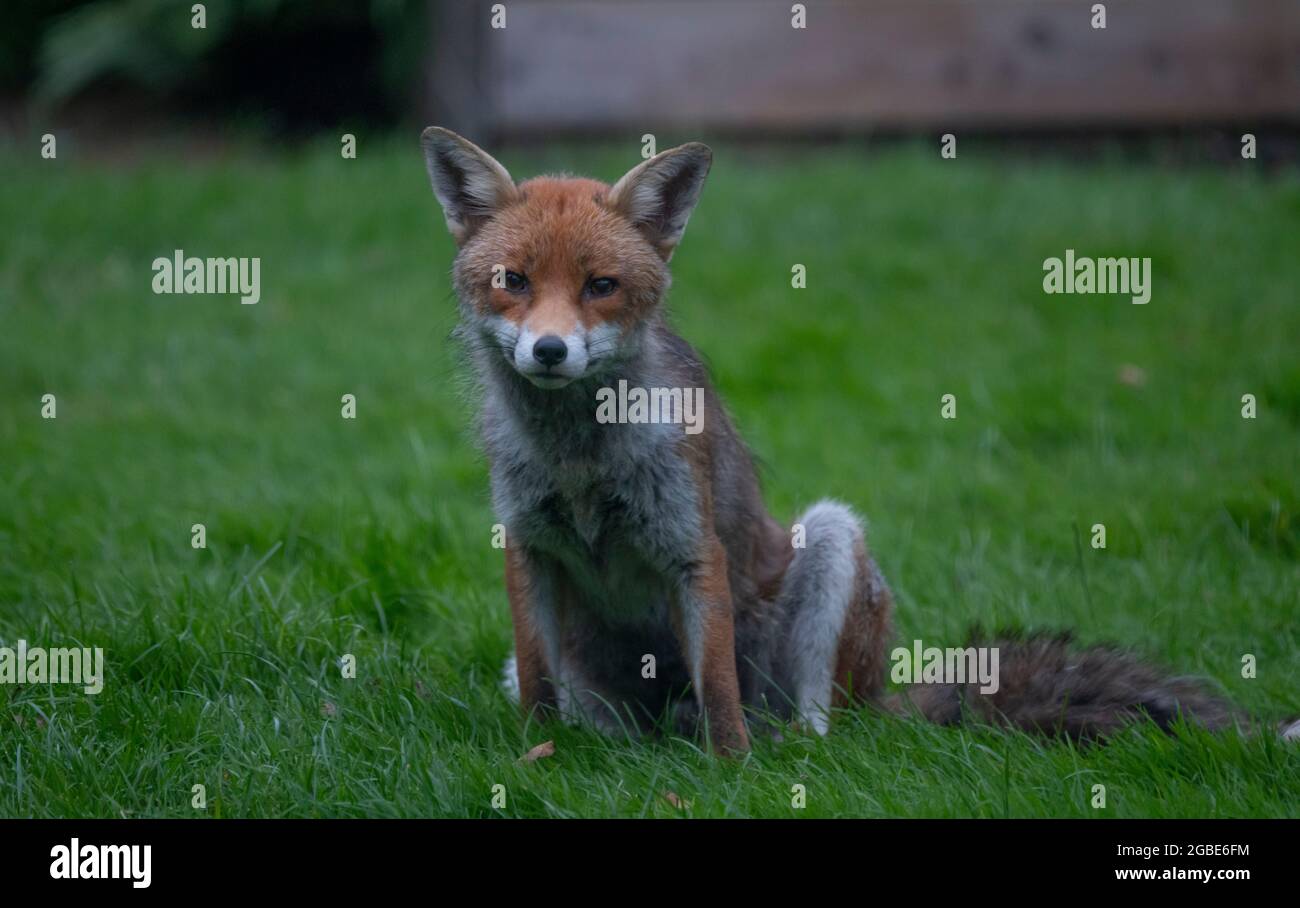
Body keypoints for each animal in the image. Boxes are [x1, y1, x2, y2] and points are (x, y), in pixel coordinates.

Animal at [419, 126, 1300, 754]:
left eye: (600, 287)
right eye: (513, 282)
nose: (550, 351)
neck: (580, 464)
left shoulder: (690, 546)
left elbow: (719, 690)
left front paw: (731, 772)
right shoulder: (526, 545)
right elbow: (538, 688)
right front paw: (538, 760)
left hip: (834, 548)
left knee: (816, 728)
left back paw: (784, 750)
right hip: (580, 682)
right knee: (590, 710)